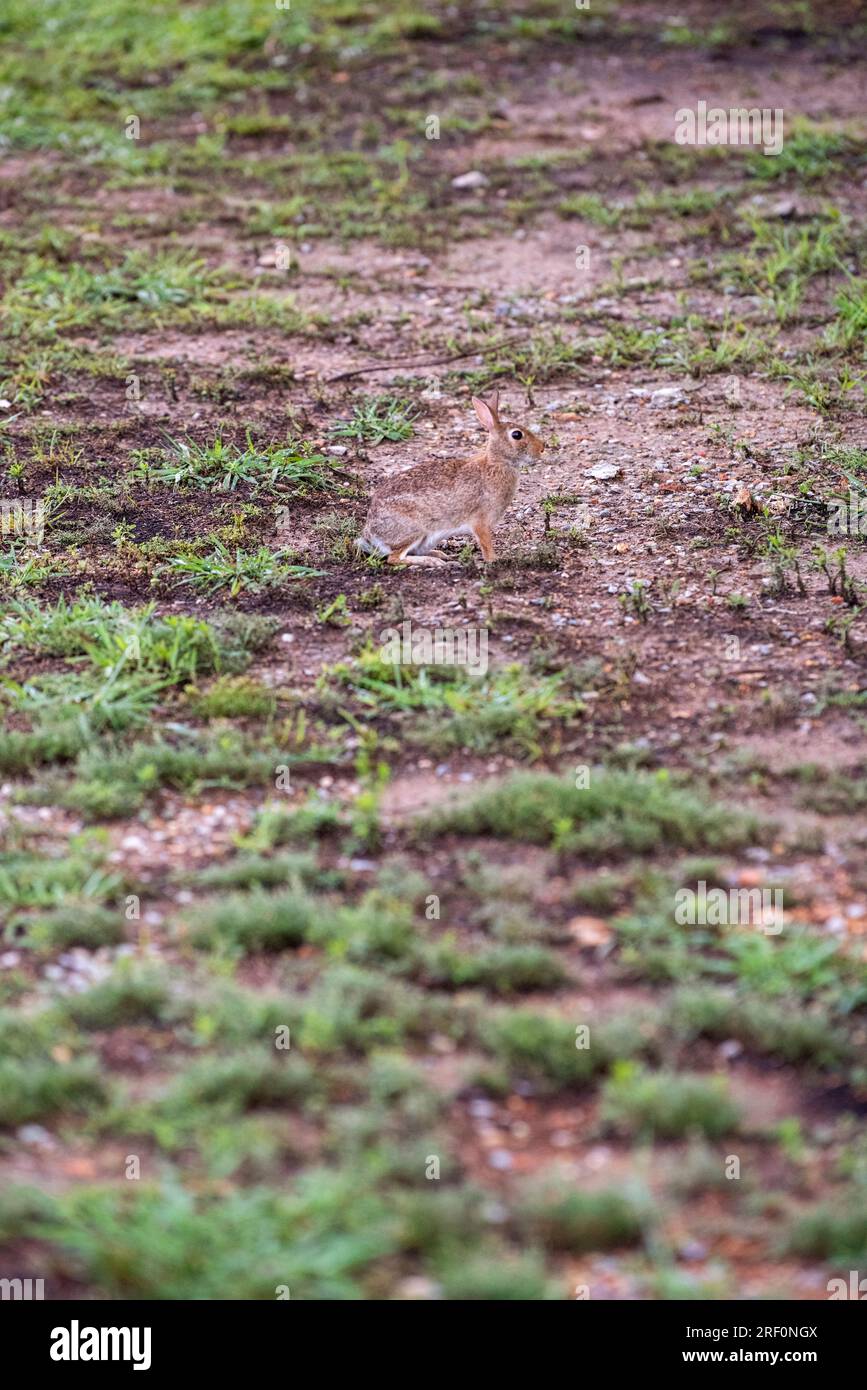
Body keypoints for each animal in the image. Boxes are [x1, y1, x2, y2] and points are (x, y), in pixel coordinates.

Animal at [357, 391, 544, 565]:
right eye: (517, 435)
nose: (542, 448)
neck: (497, 462)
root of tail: (370, 533)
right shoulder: (480, 522)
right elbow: (486, 544)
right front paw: (495, 560)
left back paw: (440, 555)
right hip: (413, 531)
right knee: (394, 558)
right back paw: (432, 561)